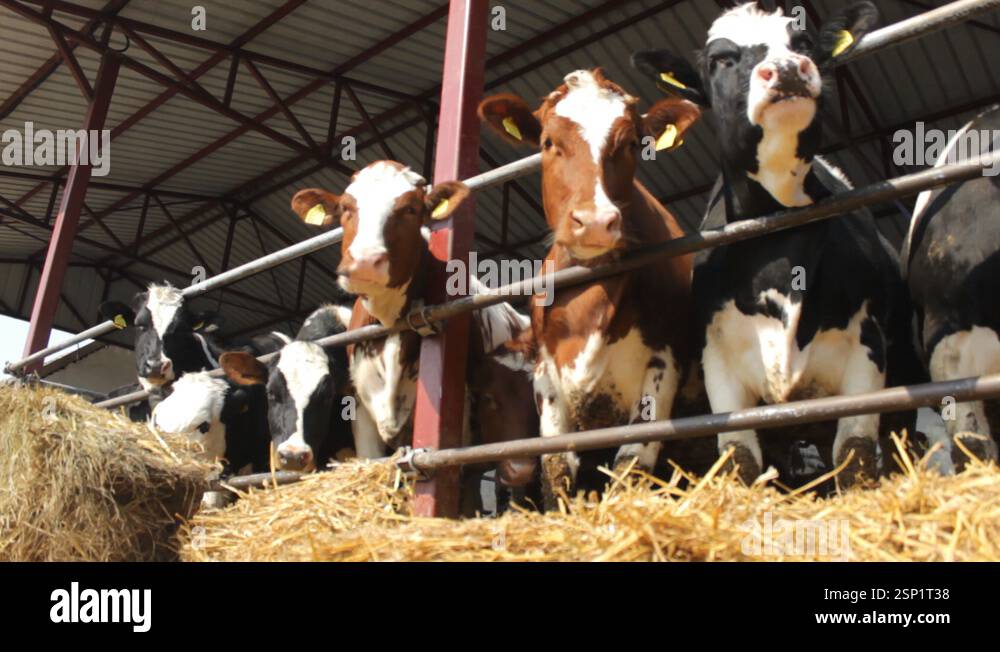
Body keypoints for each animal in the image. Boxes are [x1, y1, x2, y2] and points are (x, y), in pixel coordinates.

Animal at [478, 69, 702, 509]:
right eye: (548, 142)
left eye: (631, 143)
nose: (595, 222)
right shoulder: (545, 370)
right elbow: (556, 467)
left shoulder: (665, 363)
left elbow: (631, 466)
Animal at [630, 2, 921, 487]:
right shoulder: (719, 362)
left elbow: (856, 455)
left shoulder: (867, 350)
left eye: (803, 43)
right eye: (719, 59)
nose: (787, 69)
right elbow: (739, 458)